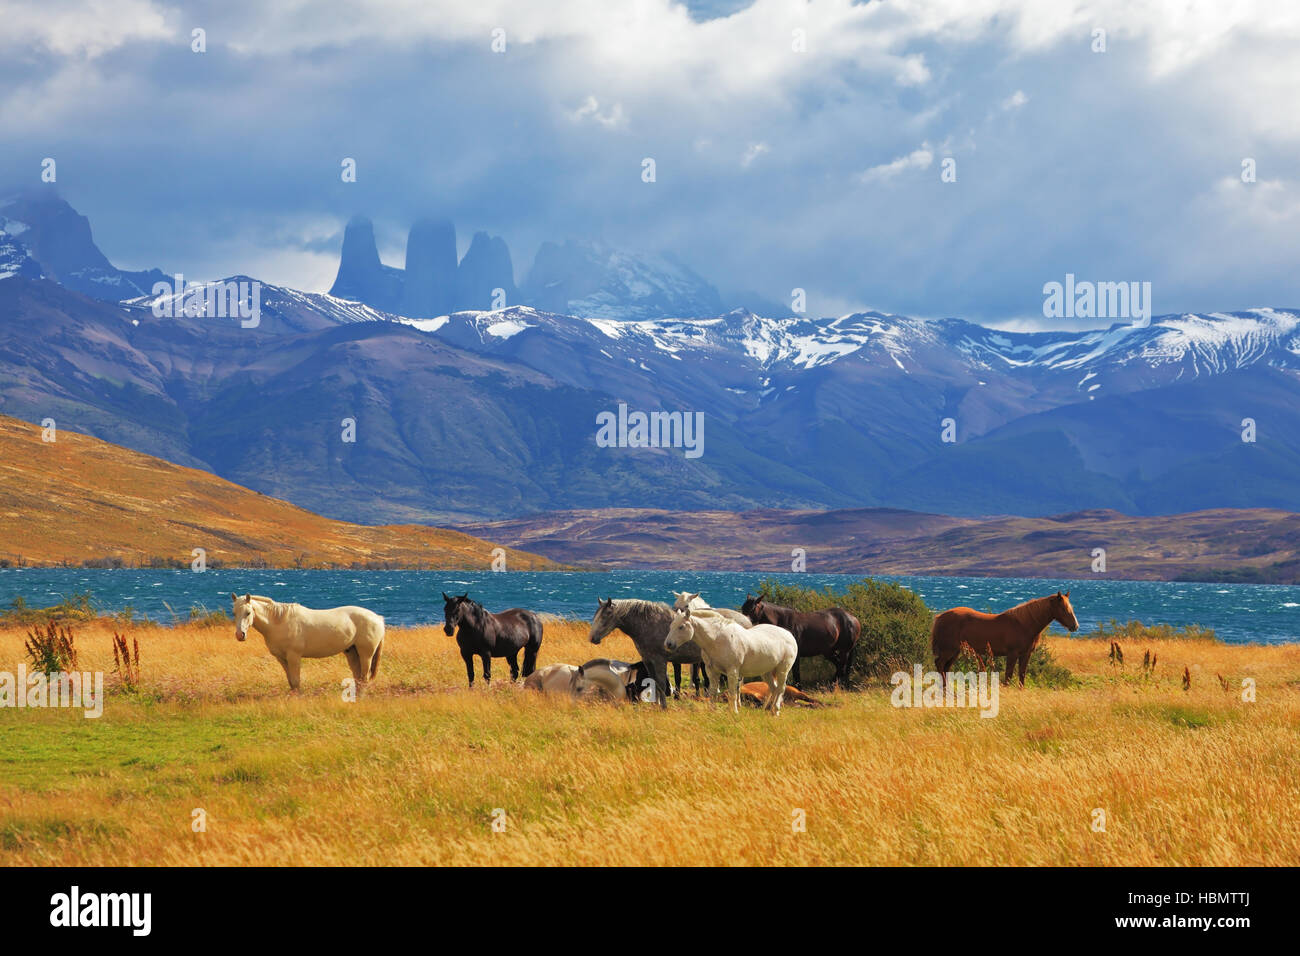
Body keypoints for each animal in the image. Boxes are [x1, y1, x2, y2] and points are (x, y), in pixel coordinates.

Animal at [231, 593, 384, 694]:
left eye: (248, 612)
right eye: (234, 613)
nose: (240, 635)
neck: (279, 622)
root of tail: (378, 618)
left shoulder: (294, 656)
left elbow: (295, 680)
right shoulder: (281, 658)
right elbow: (291, 680)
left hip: (366, 654)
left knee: (364, 677)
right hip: (352, 652)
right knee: (358, 677)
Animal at [664, 606, 797, 715]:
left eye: (681, 627)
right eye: (670, 626)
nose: (668, 644)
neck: (717, 639)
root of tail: (789, 636)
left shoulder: (732, 672)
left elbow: (732, 693)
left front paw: (734, 711)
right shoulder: (712, 671)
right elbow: (713, 692)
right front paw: (712, 711)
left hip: (782, 670)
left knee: (780, 689)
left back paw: (776, 711)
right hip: (767, 672)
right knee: (774, 689)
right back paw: (770, 711)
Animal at [931, 590, 1079, 687]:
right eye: (1064, 608)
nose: (1075, 626)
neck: (1023, 624)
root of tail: (940, 617)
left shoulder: (1026, 654)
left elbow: (1022, 675)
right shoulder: (1012, 654)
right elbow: (1008, 675)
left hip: (955, 652)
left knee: (946, 667)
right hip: (949, 650)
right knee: (940, 664)